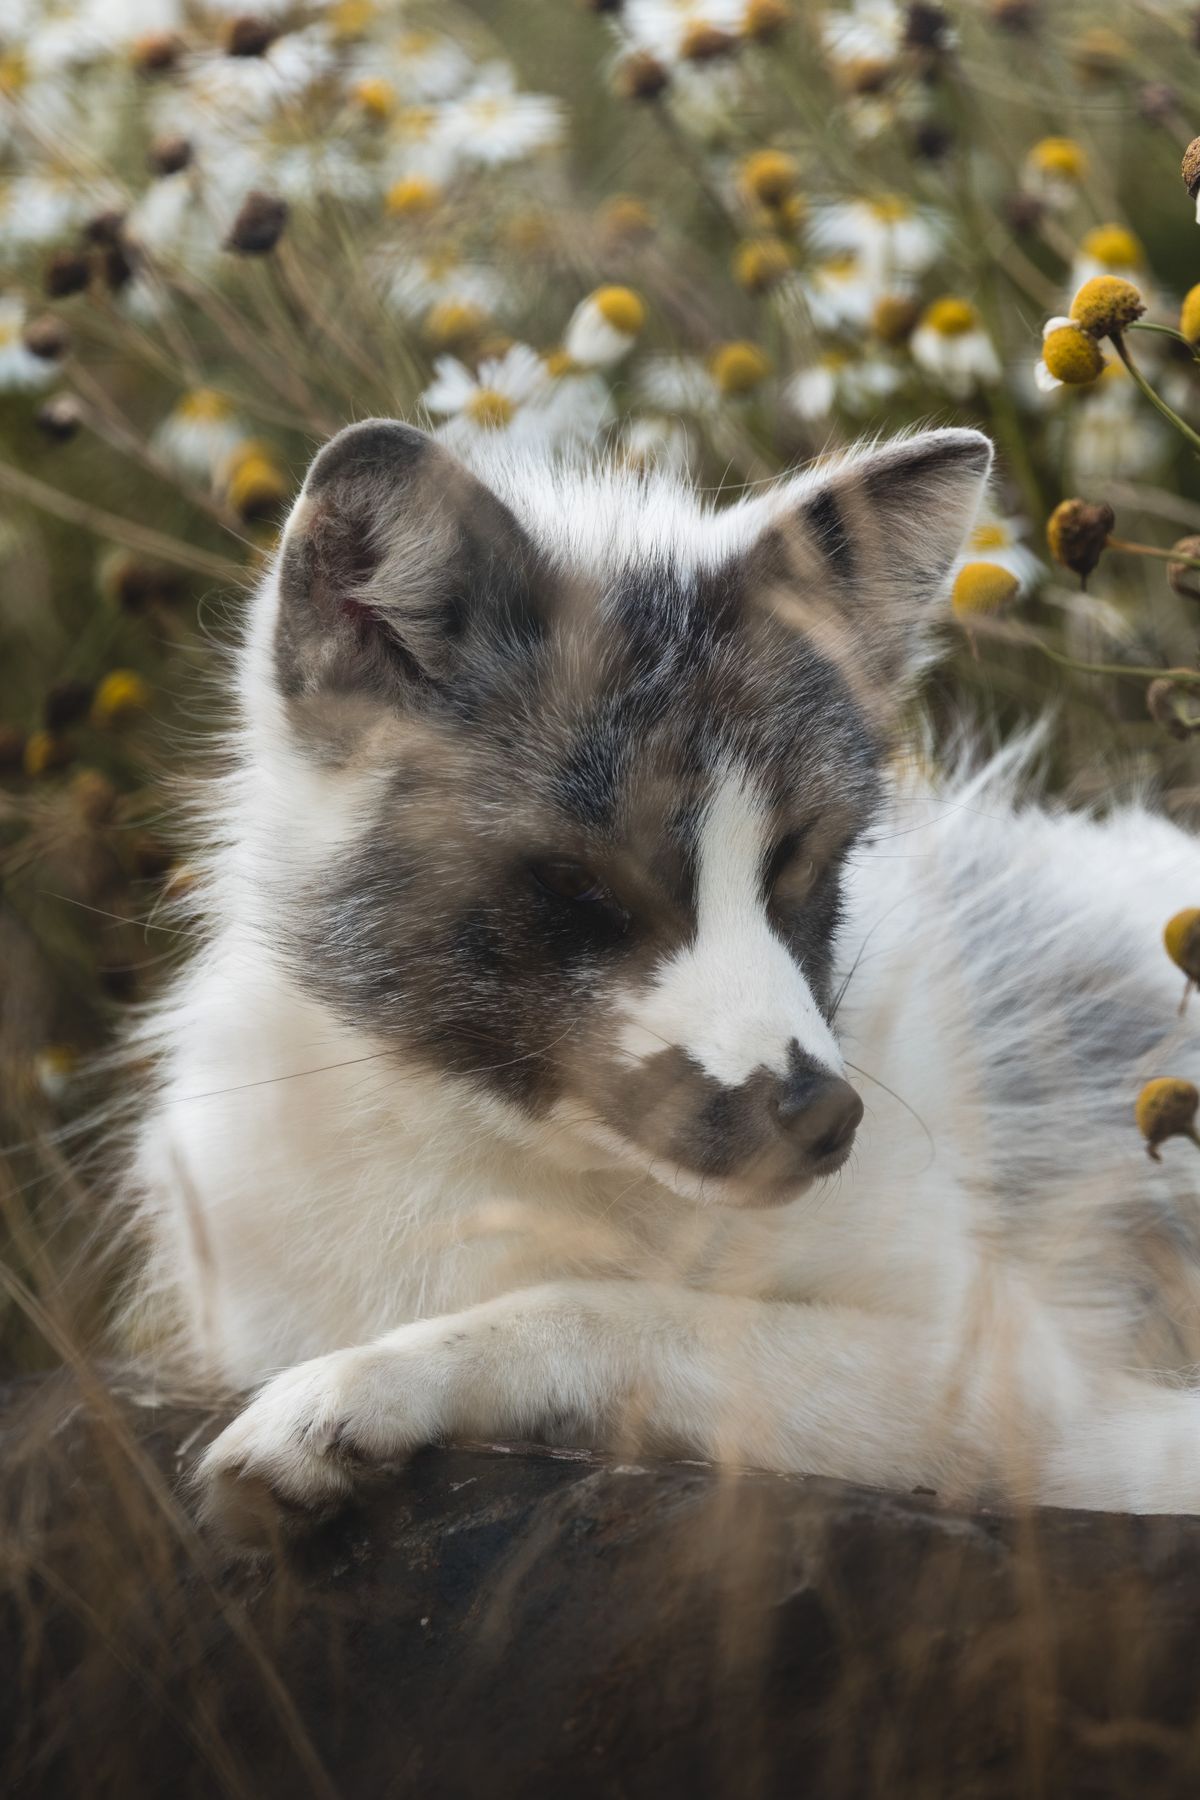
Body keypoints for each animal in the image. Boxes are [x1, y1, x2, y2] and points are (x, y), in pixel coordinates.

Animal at [125, 417, 1200, 1545]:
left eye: (802, 863)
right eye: (585, 883)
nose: (823, 1118)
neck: (507, 1176)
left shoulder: (1025, 1383)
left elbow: (607, 1311)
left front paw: (367, 1384)